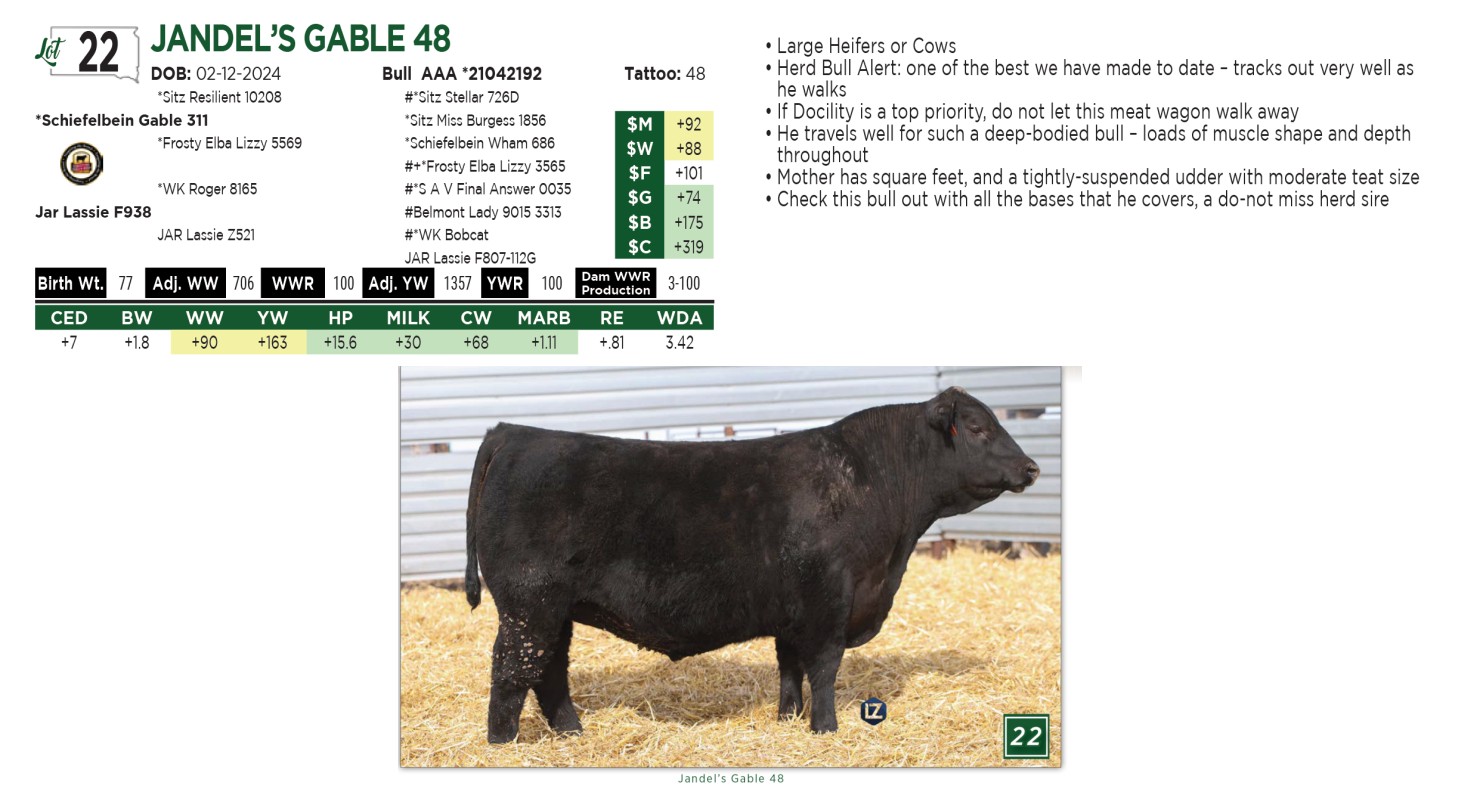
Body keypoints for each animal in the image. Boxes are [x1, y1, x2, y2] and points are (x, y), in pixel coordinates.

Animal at [464, 387, 1040, 742]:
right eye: (976, 428)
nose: (1032, 467)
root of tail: (513, 432)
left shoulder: (795, 608)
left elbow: (790, 668)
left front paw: (787, 720)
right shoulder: (830, 600)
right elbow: (824, 668)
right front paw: (826, 729)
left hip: (554, 609)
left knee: (548, 671)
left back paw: (571, 734)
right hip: (528, 603)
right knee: (512, 670)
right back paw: (504, 744)